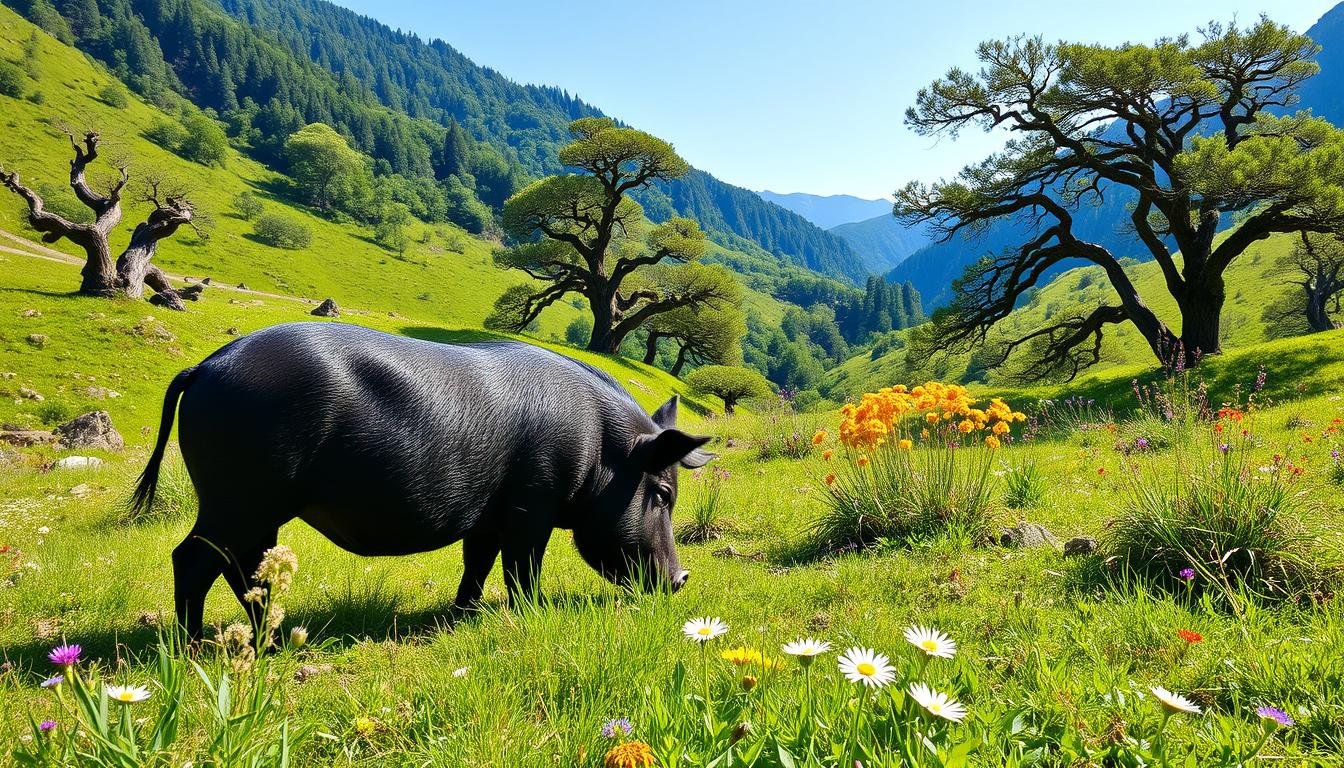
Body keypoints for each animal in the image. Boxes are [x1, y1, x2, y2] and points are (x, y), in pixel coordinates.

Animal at [132, 322, 714, 639]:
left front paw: (463, 615)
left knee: (245, 568)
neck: (598, 453)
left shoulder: (489, 514)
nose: (684, 578)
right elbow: (521, 568)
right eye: (663, 494)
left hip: (253, 509)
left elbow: (477, 562)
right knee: (191, 559)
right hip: (236, 499)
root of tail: (205, 368)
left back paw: (268, 640)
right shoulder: (533, 505)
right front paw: (532, 613)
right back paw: (194, 647)